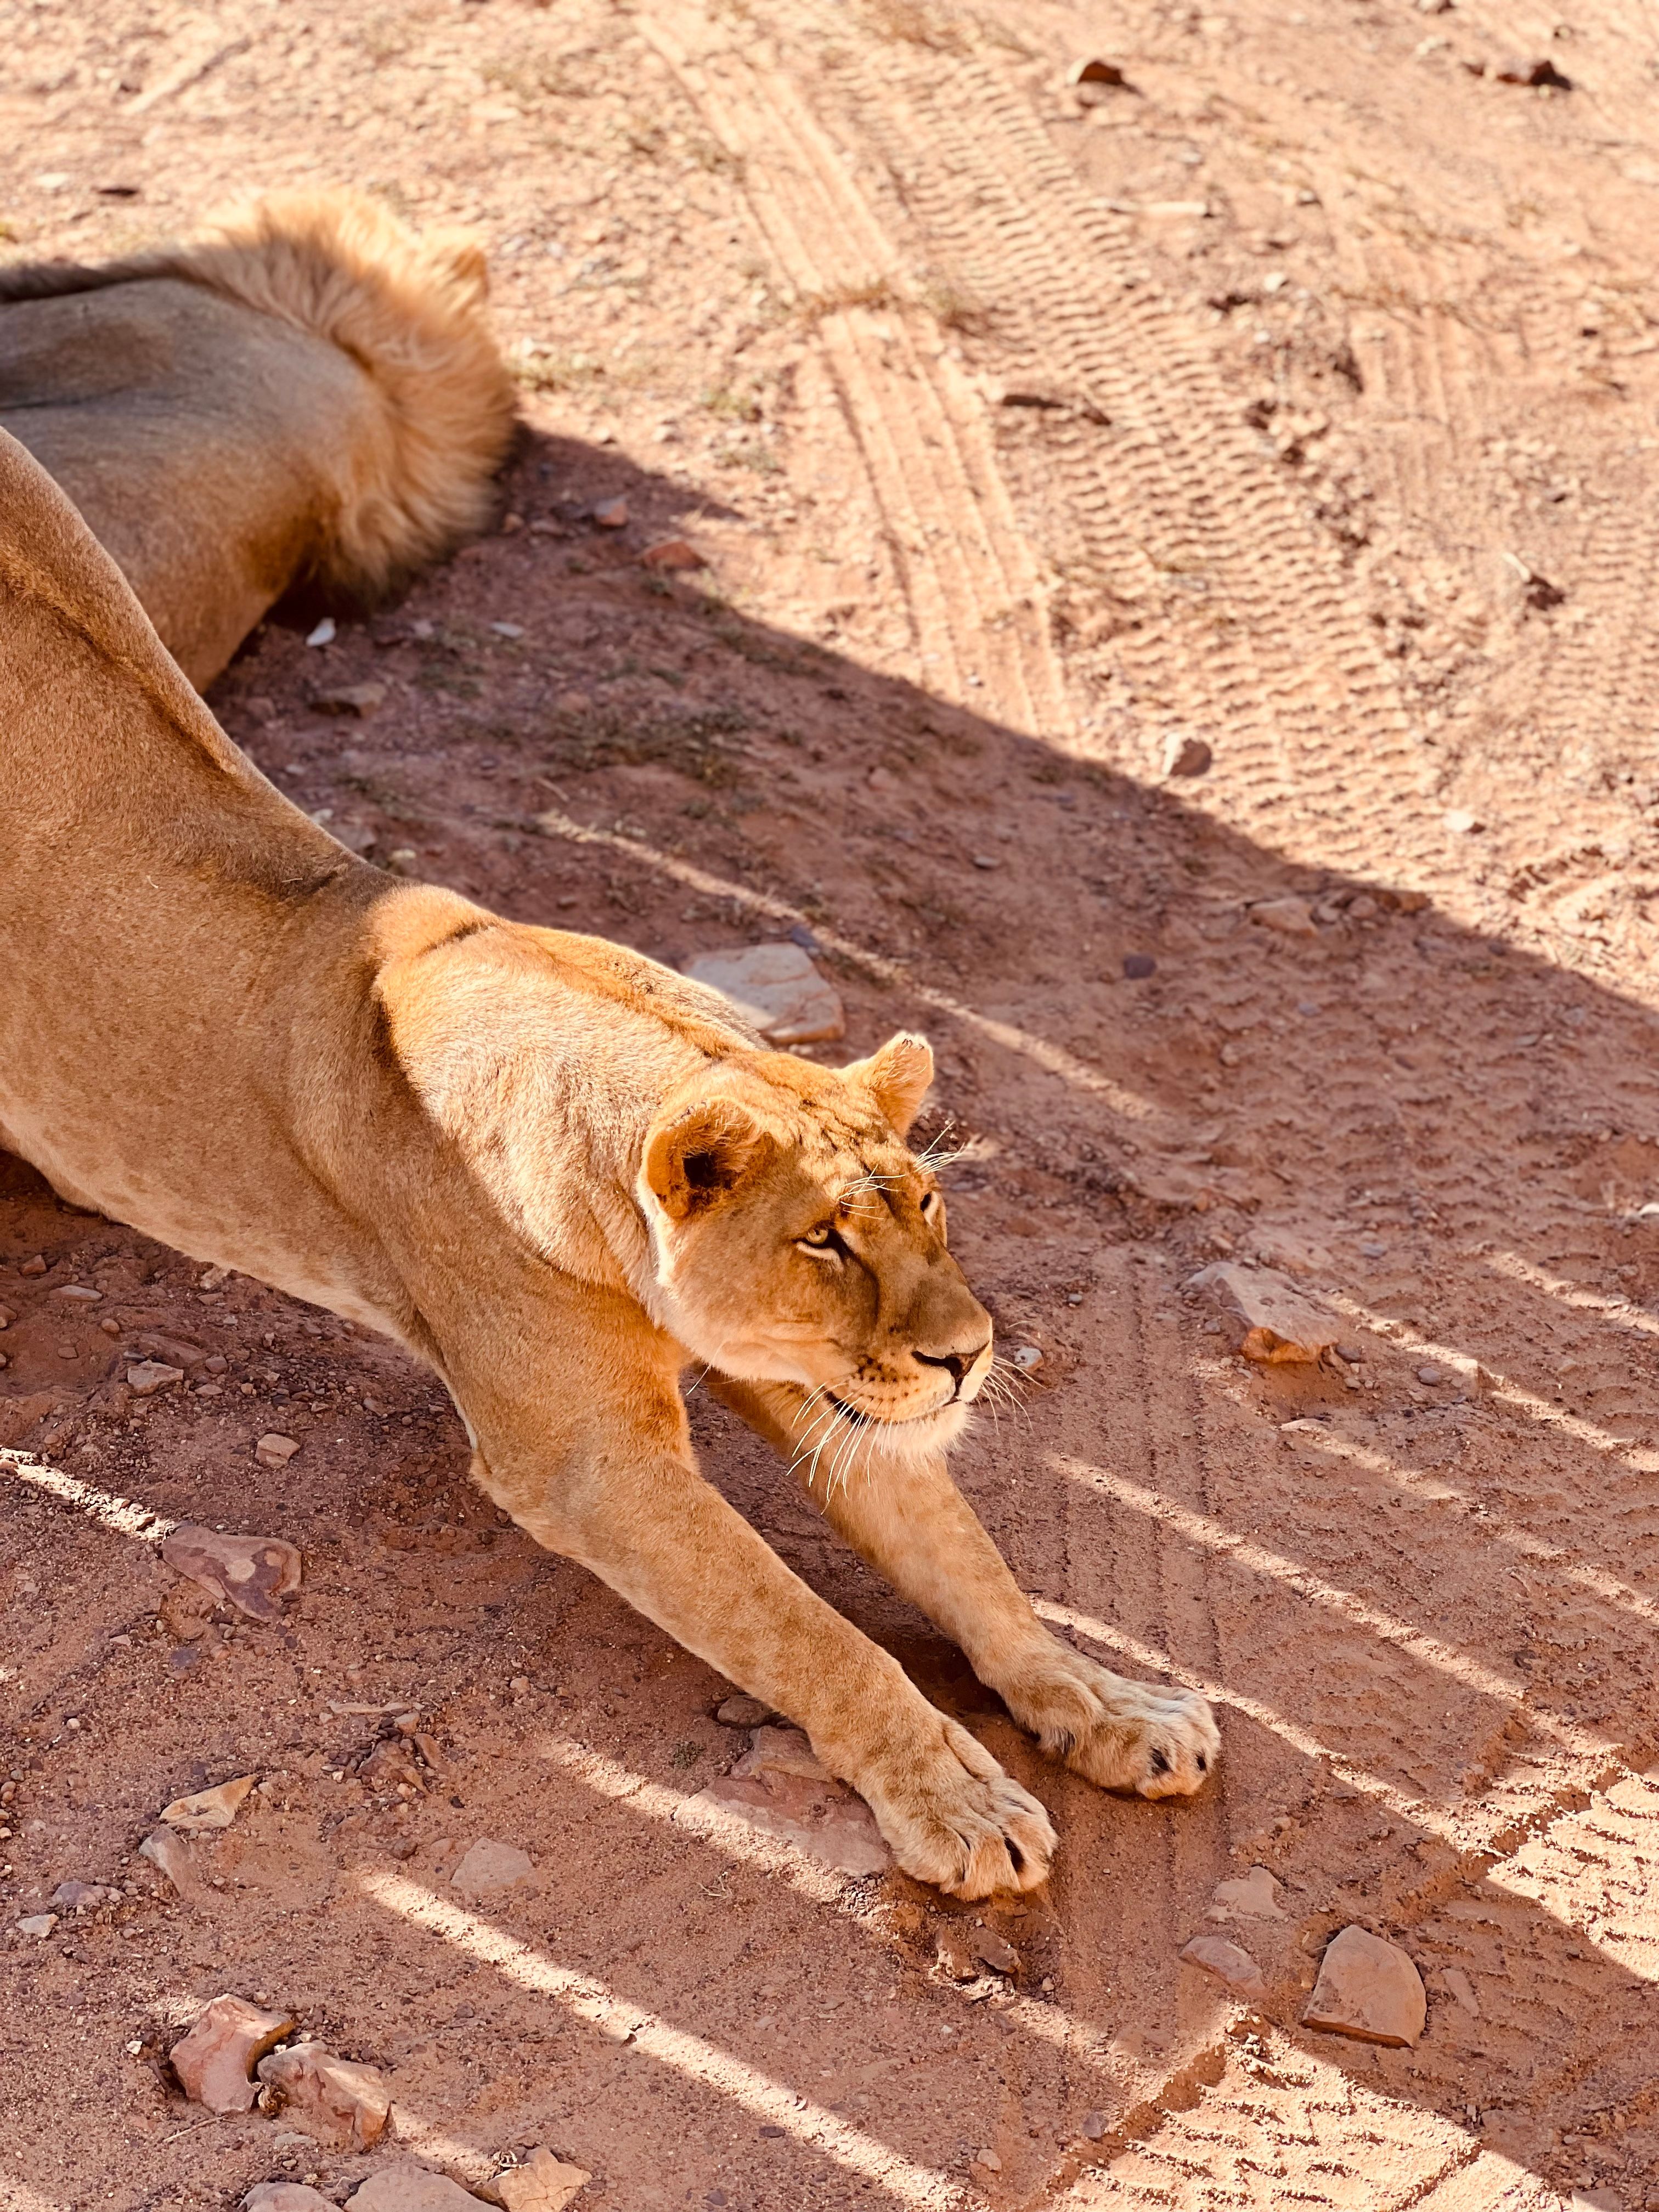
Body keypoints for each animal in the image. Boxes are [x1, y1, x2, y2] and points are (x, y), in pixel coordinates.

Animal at [0, 428, 1217, 1896]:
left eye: (929, 1205)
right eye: (824, 1240)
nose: (967, 1360)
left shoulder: (821, 1387)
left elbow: (967, 1566)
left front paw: (1110, 1706)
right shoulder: (586, 1460)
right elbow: (809, 1633)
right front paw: (956, 1801)